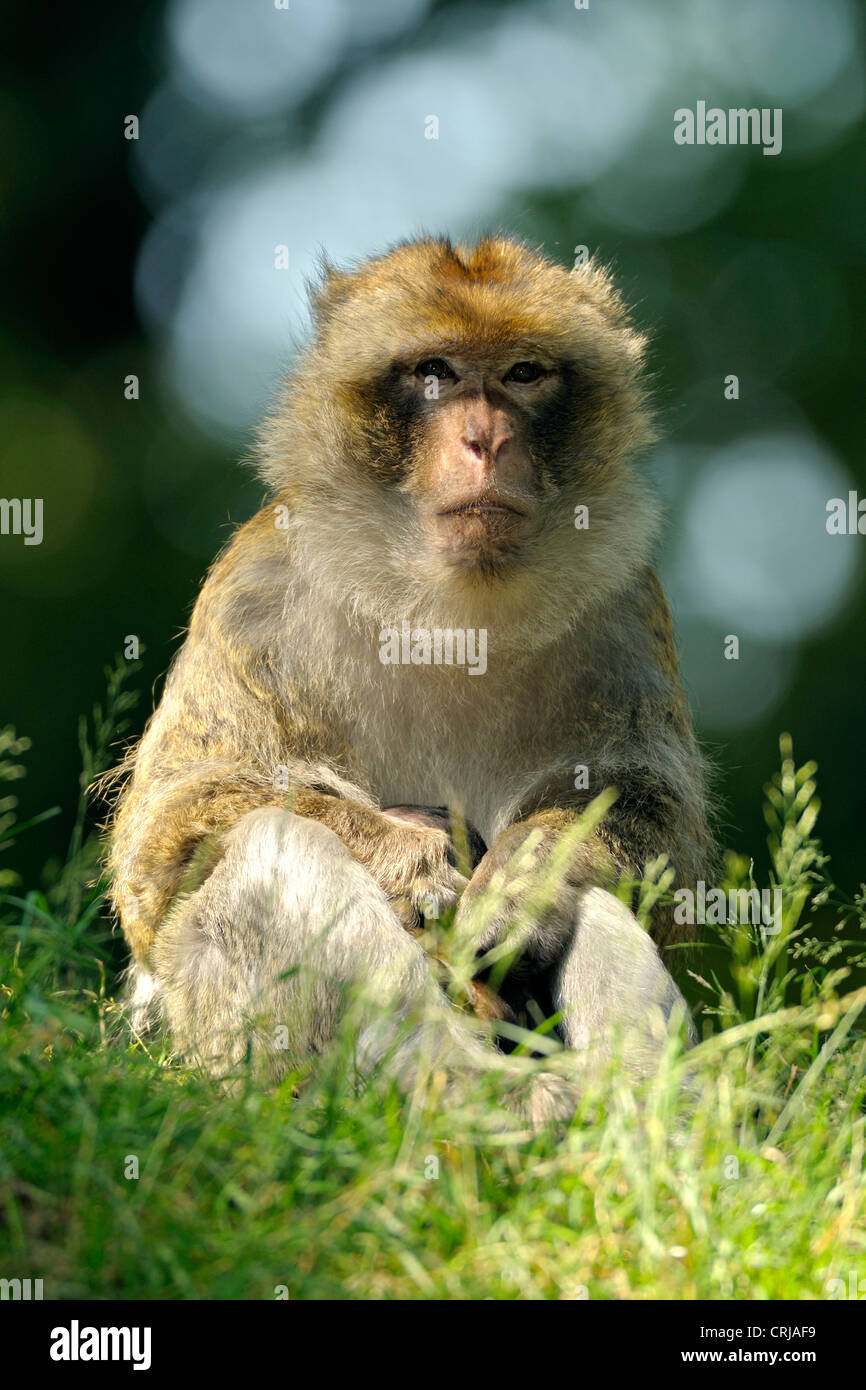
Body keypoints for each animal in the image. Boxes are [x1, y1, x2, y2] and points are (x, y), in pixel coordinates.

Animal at [108, 235, 716, 1122]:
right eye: (435, 372)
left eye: (523, 374)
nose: (485, 441)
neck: (449, 608)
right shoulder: (255, 589)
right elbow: (165, 838)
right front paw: (403, 853)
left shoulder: (627, 606)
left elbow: (654, 826)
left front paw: (523, 882)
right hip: (225, 1055)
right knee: (271, 846)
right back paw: (472, 1098)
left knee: (596, 902)